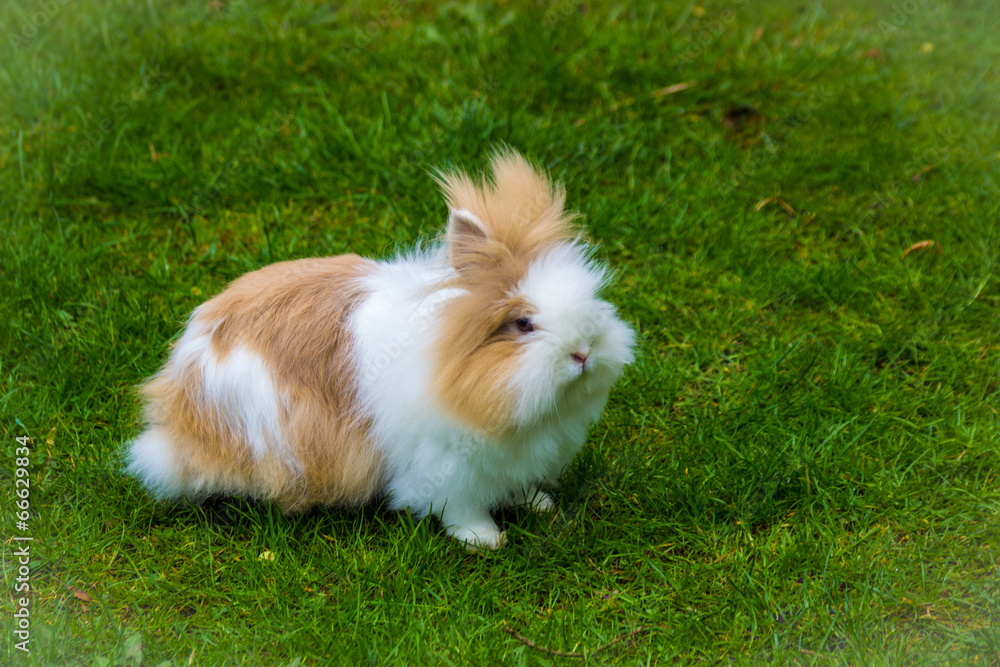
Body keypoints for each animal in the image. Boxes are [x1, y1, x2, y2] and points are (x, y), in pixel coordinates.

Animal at [126, 148, 635, 550]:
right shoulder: (446, 462)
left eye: (591, 297)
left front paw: (541, 505)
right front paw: (486, 539)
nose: (583, 353)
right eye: (525, 324)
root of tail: (173, 409)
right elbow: (460, 508)